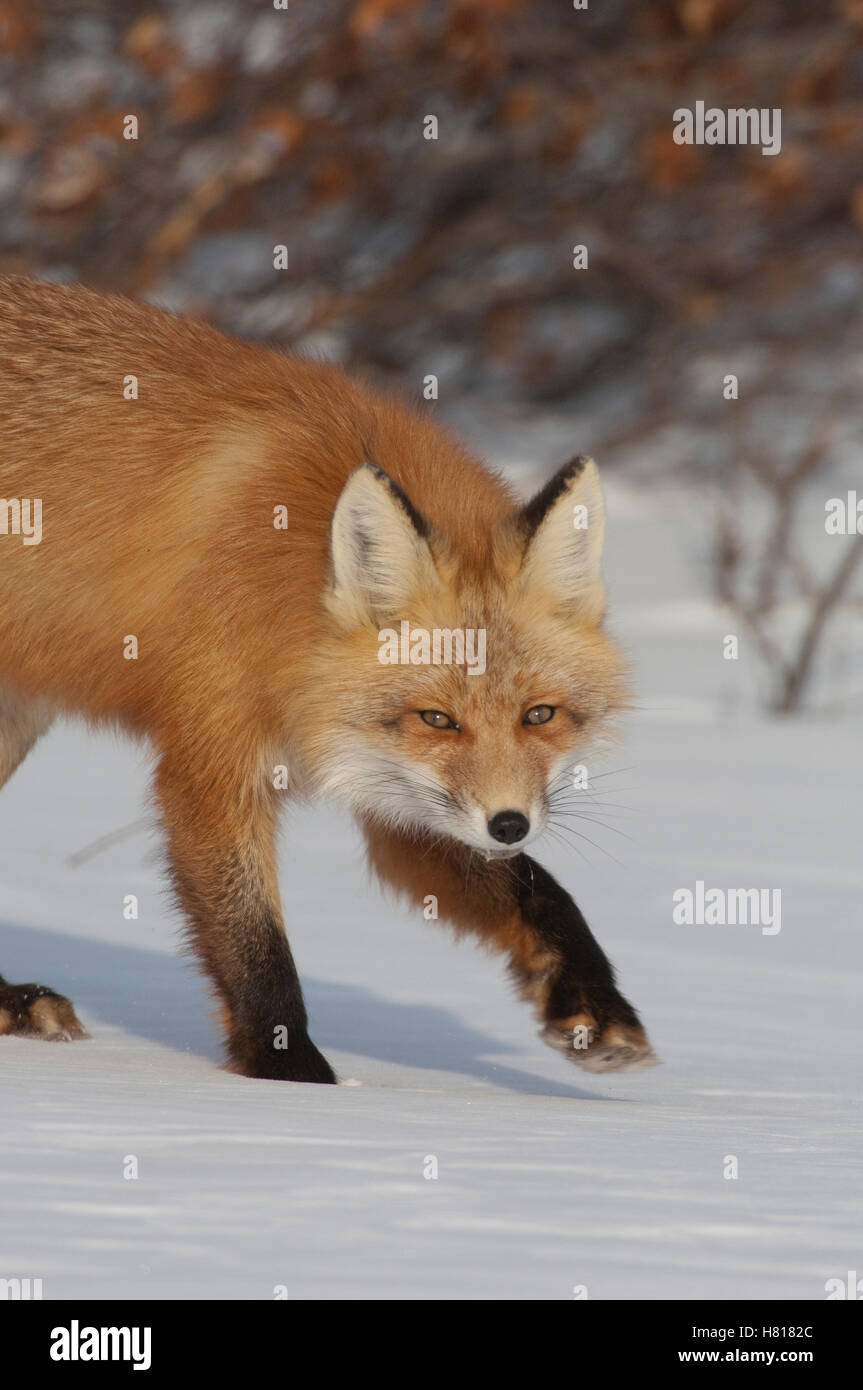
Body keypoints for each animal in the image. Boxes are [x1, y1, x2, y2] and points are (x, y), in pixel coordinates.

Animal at [0, 276, 658, 1083]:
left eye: (539, 715)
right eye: (437, 718)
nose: (510, 824)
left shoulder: (403, 800)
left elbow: (536, 890)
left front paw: (593, 1006)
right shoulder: (211, 768)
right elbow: (257, 950)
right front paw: (300, 1086)